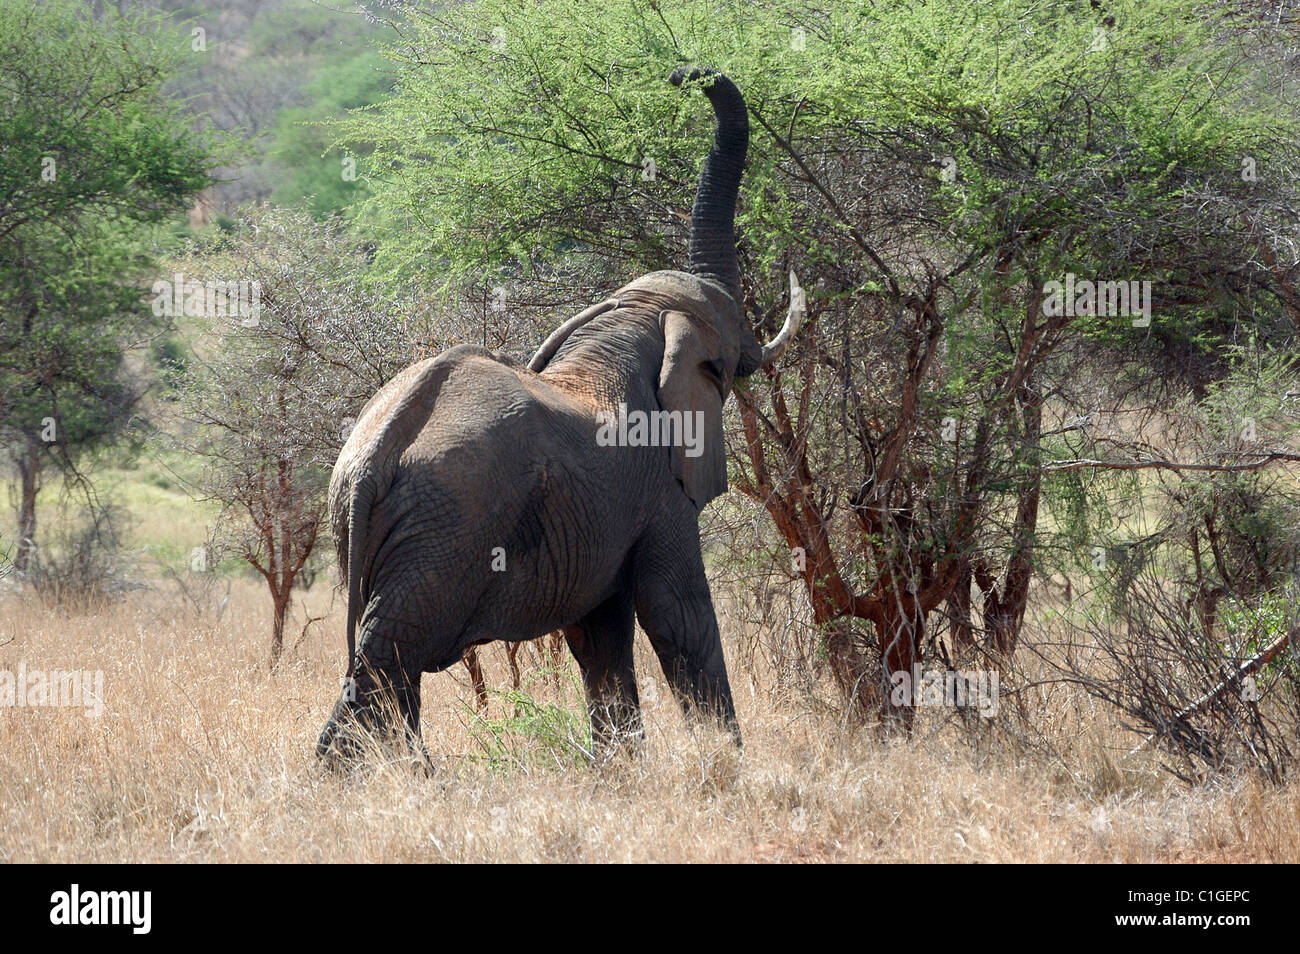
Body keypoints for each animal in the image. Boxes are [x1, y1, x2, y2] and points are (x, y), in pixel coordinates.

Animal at [316, 66, 800, 767]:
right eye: (730, 356)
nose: (683, 73)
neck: (627, 329)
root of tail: (377, 452)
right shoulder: (659, 494)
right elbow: (676, 614)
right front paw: (729, 767)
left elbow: (601, 642)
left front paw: (622, 775)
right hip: (445, 533)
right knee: (385, 667)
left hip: (372, 528)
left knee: (385, 673)